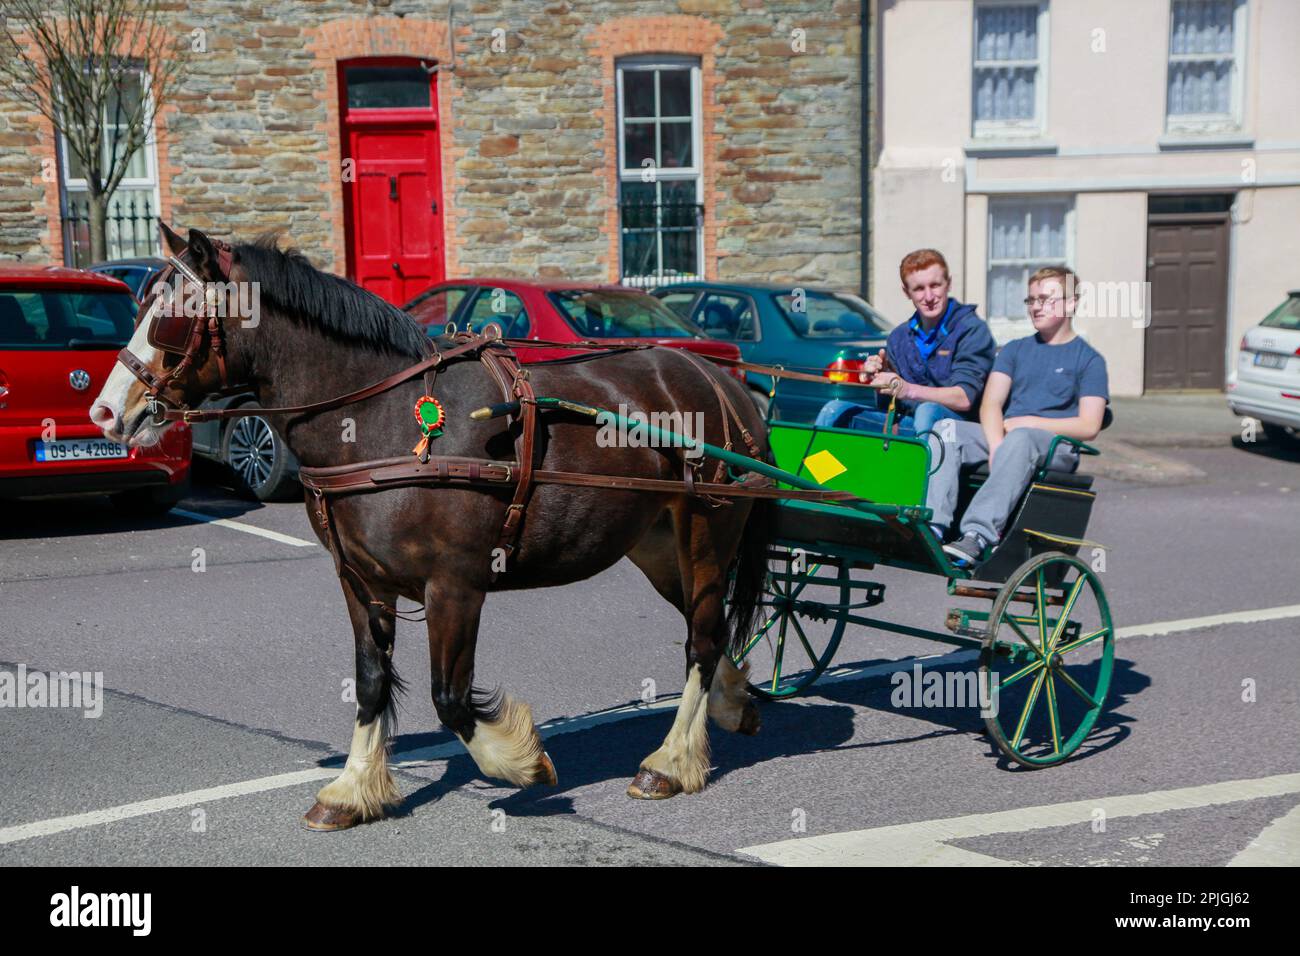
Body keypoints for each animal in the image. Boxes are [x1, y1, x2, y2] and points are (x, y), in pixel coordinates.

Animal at [90, 224, 771, 830]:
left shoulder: (455, 586)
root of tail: (725, 382)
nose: (105, 411)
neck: (381, 418)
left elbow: (451, 697)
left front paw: (521, 761)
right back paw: (731, 703)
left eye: (169, 319)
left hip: (705, 534)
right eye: (141, 306)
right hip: (656, 544)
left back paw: (671, 761)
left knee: (701, 638)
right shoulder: (361, 581)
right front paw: (352, 791)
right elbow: (371, 683)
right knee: (705, 627)